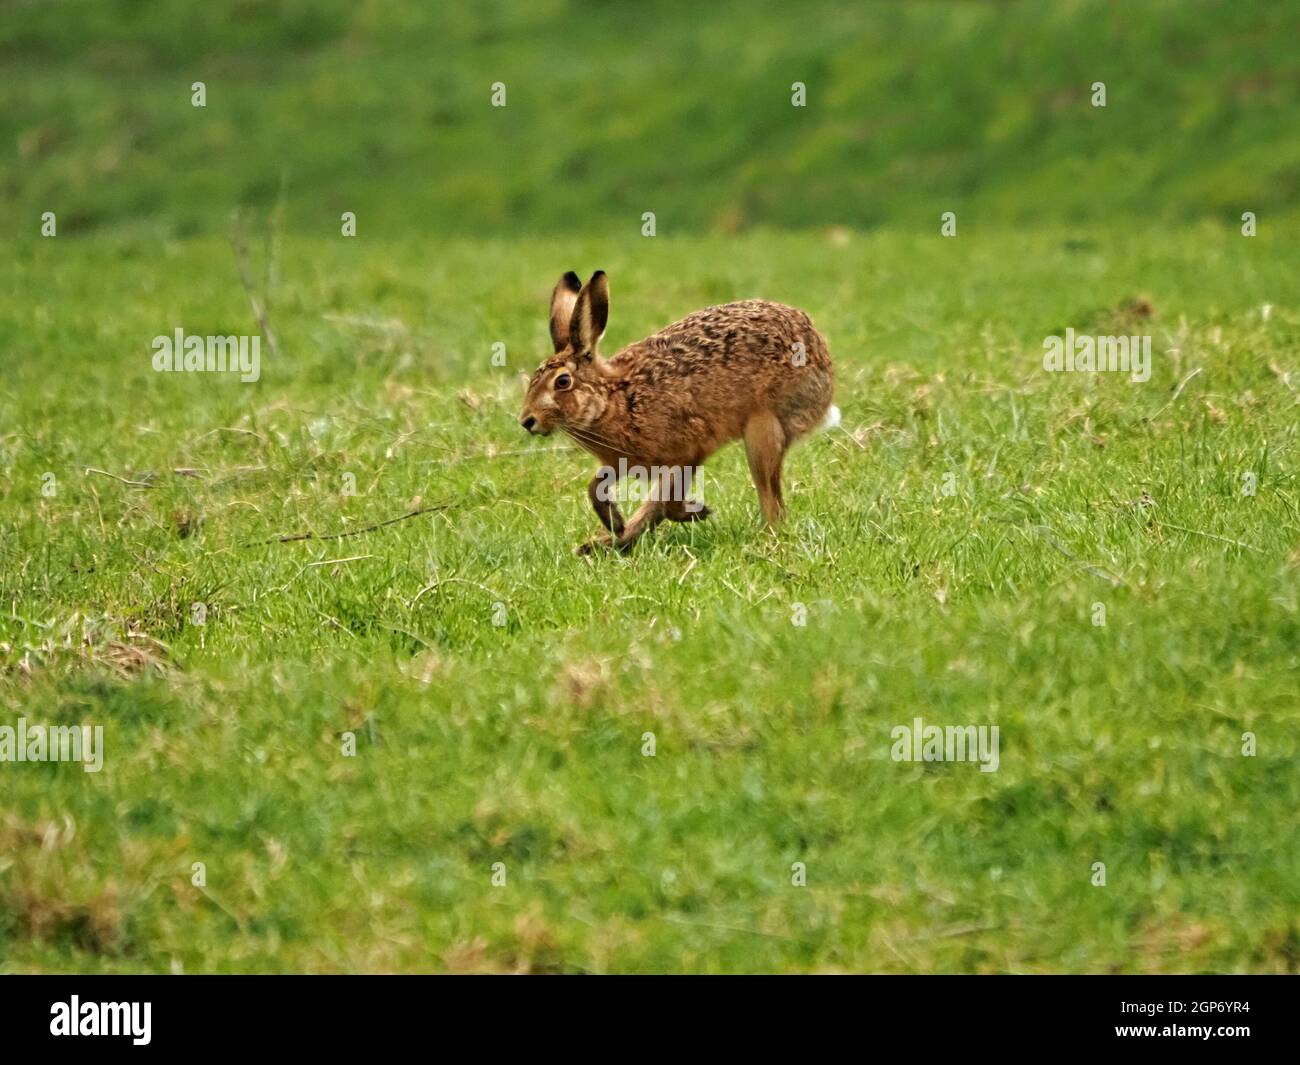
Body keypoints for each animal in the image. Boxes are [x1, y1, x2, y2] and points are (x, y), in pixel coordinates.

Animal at [520, 270, 838, 554]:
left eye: (562, 382)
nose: (527, 421)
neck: (617, 398)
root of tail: (821, 354)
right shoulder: (621, 461)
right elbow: (595, 487)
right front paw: (616, 523)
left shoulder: (688, 451)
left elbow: (670, 501)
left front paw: (697, 512)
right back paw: (607, 543)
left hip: (763, 430)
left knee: (772, 500)